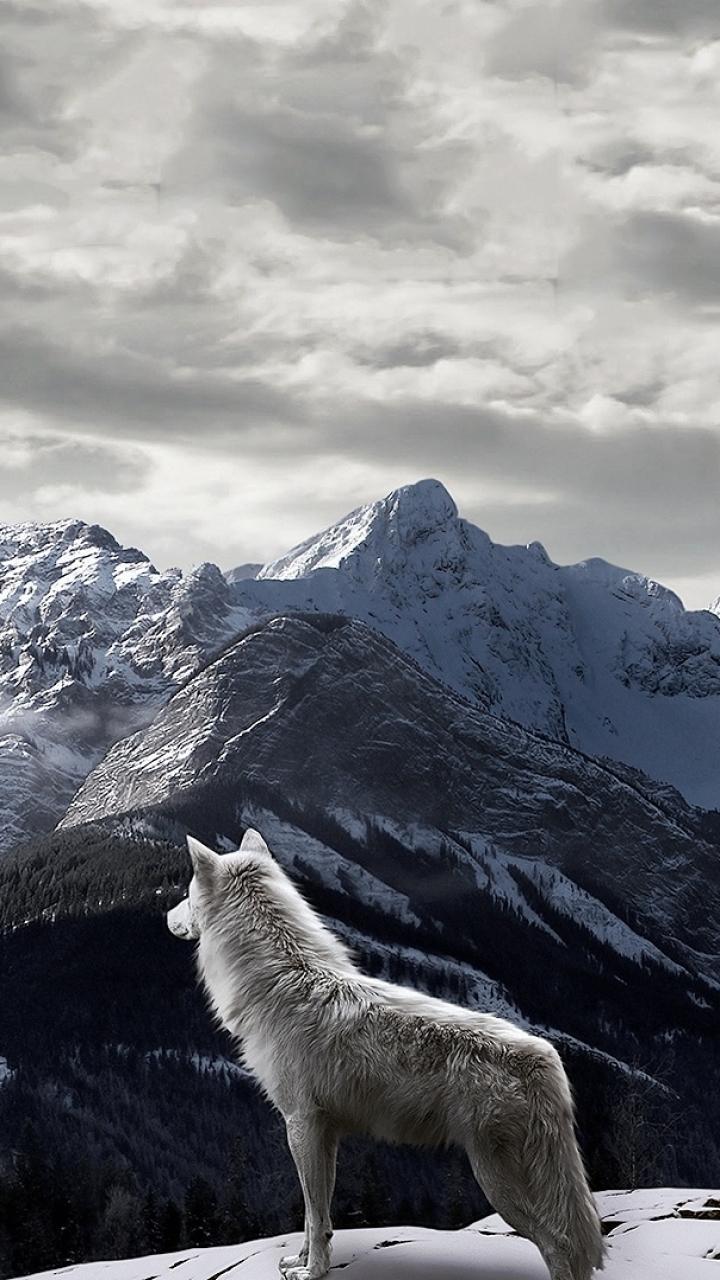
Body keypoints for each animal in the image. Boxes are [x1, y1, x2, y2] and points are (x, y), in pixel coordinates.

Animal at [167, 830, 604, 1280]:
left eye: (186, 894)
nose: (166, 915)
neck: (280, 982)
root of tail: (545, 1057)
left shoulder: (300, 1124)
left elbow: (313, 1213)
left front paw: (312, 1272)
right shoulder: (324, 1133)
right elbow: (315, 1215)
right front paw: (302, 1260)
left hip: (499, 1184)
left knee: (561, 1246)